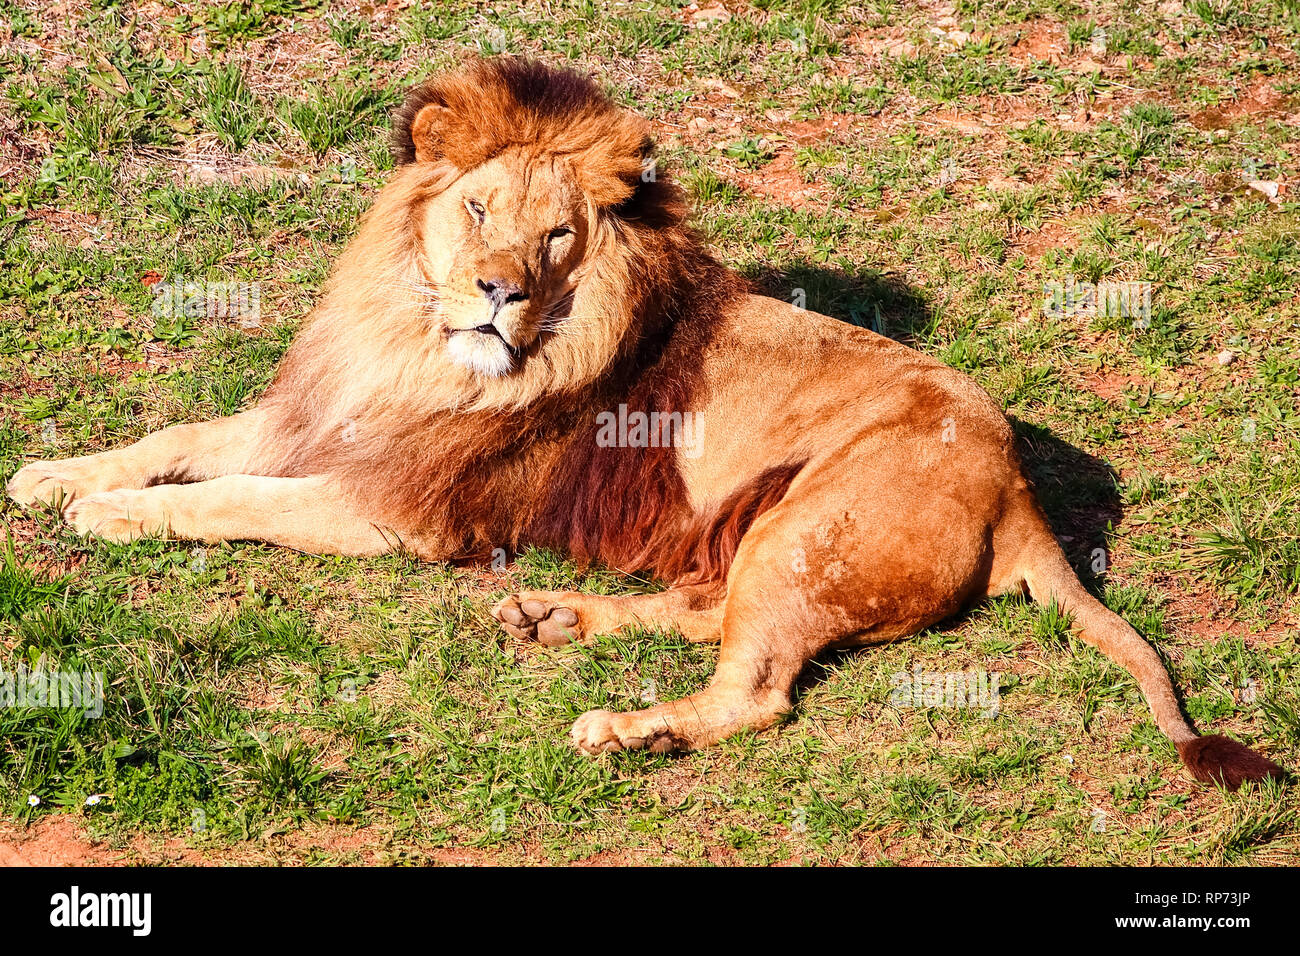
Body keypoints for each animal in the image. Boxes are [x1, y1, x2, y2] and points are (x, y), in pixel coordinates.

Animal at [7, 57, 1281, 788]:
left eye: (558, 237)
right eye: (477, 210)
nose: (497, 291)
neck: (420, 345)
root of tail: (1022, 496)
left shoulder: (403, 508)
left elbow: (230, 495)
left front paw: (108, 515)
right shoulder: (329, 419)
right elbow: (184, 440)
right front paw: (54, 473)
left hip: (809, 523)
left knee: (755, 687)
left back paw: (632, 729)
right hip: (761, 531)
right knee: (708, 612)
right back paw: (551, 615)